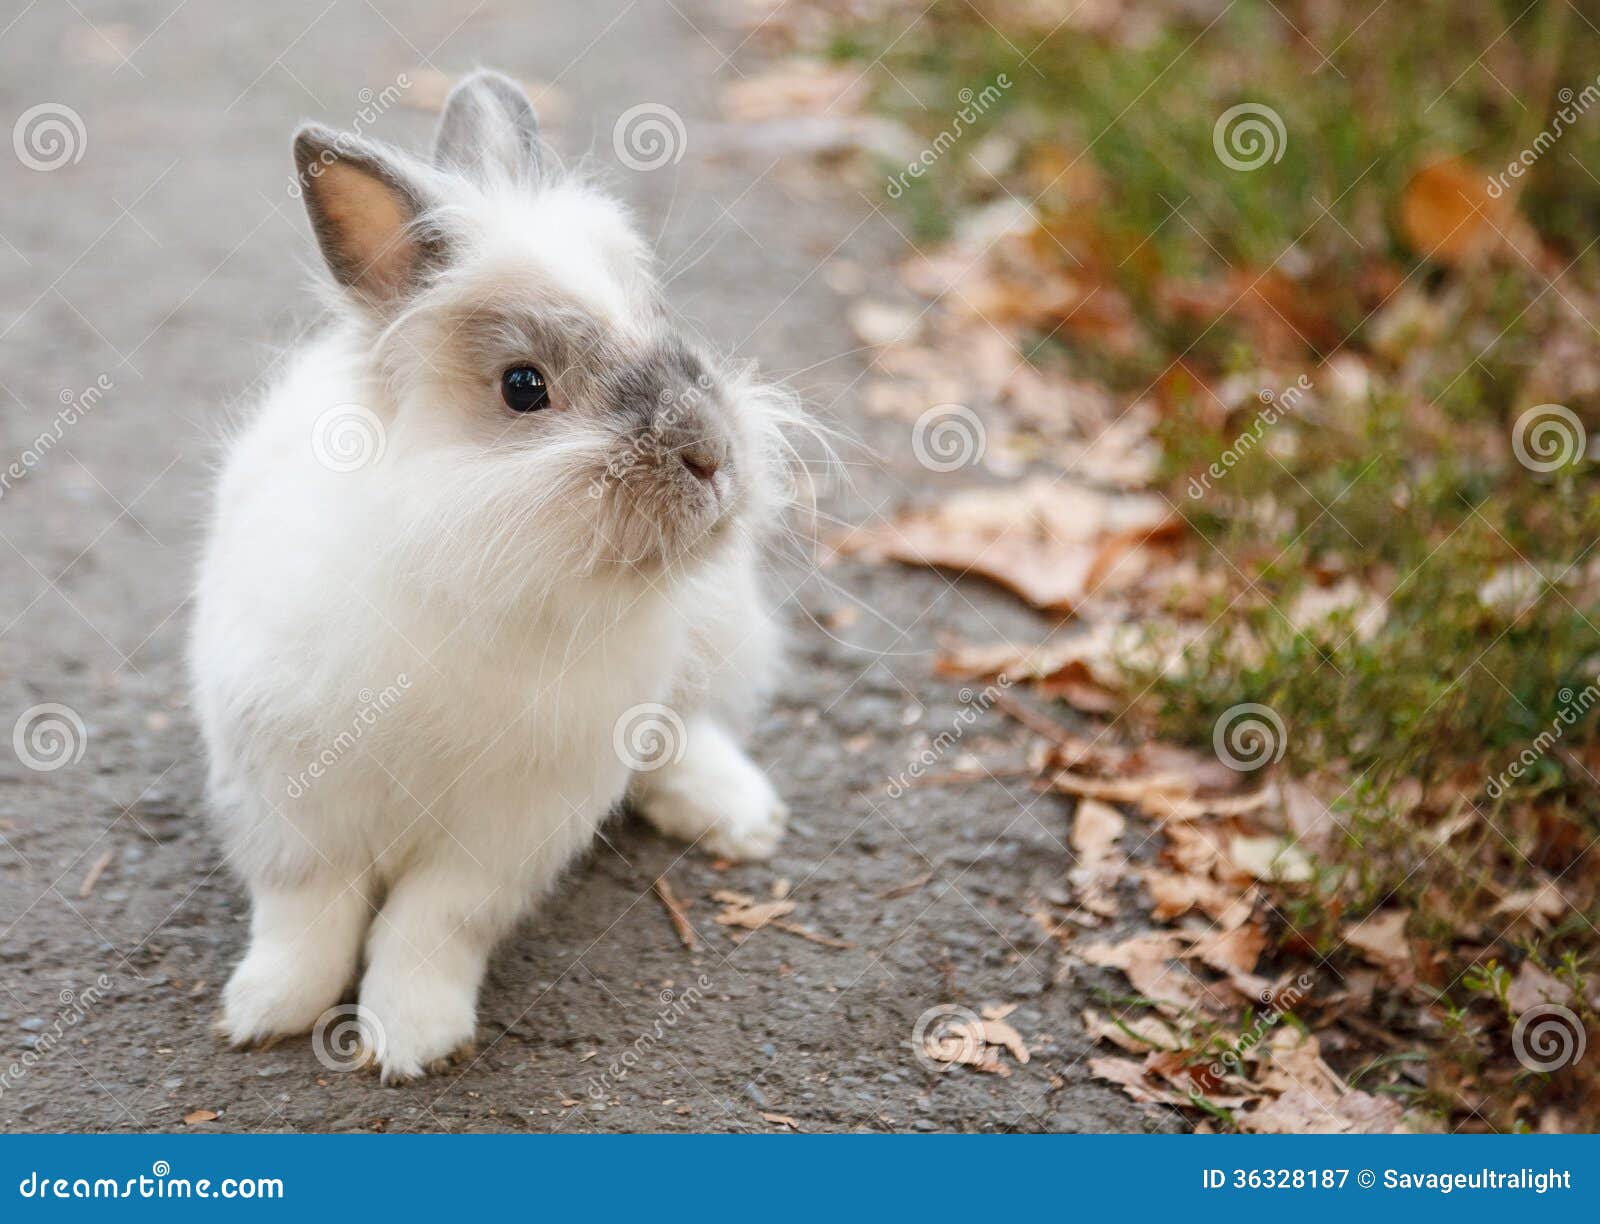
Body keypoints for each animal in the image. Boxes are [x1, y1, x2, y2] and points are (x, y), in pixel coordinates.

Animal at [190, 70, 802, 1083]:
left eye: (663, 322)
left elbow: (429, 926)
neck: (481, 570)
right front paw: (265, 1011)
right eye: (523, 386)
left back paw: (741, 818)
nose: (713, 457)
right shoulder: (292, 795)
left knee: (686, 729)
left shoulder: (508, 830)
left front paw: (411, 1038)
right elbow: (305, 912)